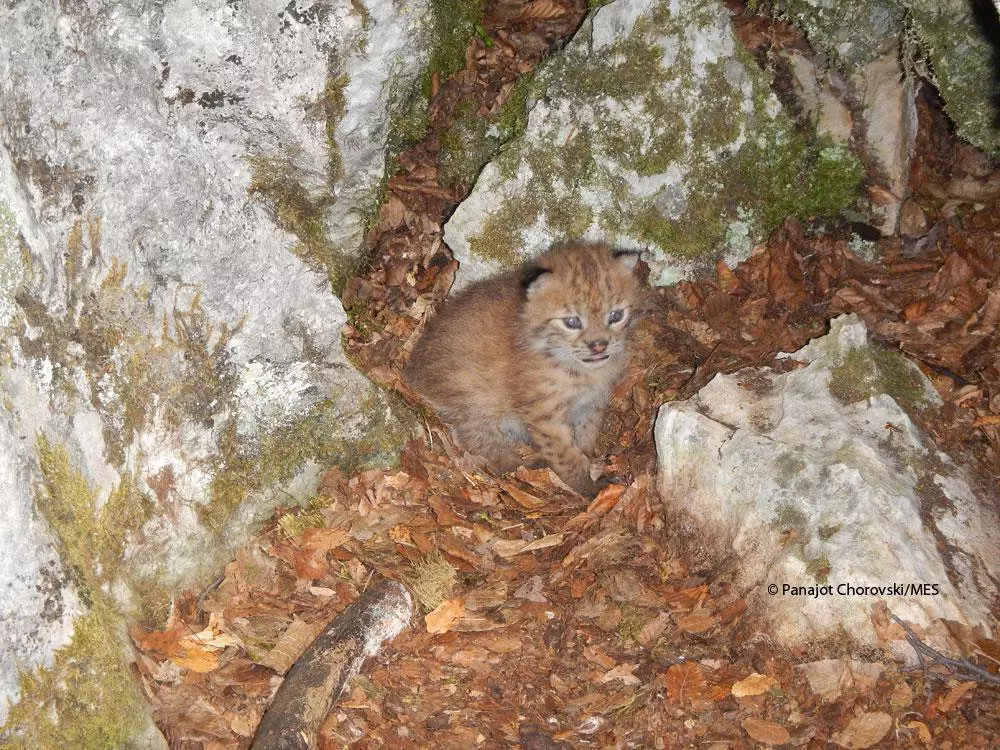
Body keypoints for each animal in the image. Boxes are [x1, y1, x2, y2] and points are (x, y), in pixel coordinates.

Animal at [404, 244, 644, 496]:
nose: (599, 345)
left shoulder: (592, 402)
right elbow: (566, 456)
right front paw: (589, 488)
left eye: (616, 316)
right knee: (482, 442)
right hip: (474, 396)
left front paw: (590, 458)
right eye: (571, 322)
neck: (581, 370)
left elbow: (587, 433)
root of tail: (412, 369)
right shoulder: (546, 416)